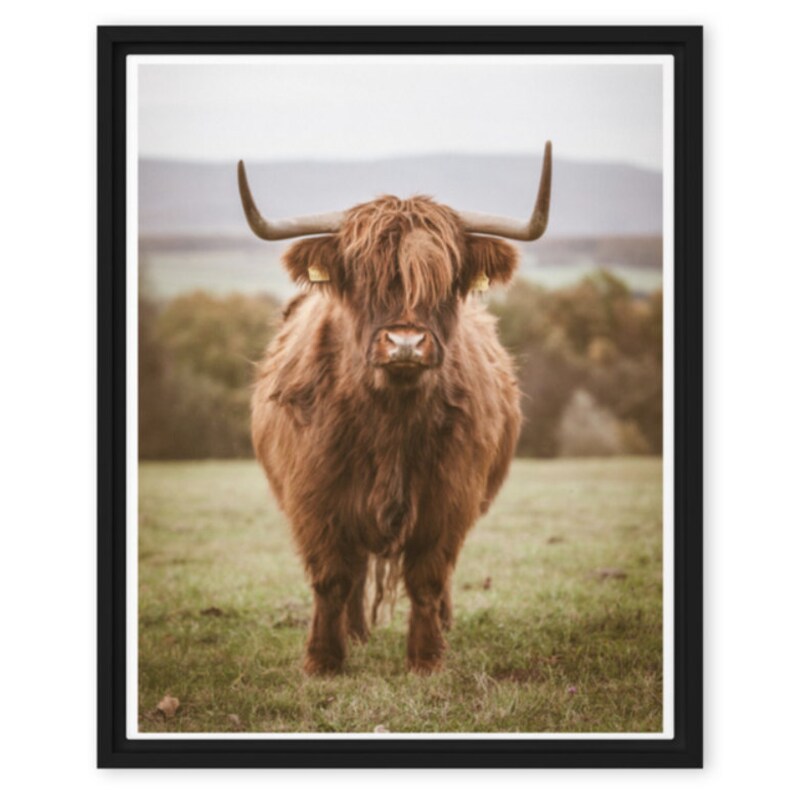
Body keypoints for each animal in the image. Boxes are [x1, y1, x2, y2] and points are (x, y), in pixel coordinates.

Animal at [237, 143, 552, 675]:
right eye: (361, 278)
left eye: (445, 280)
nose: (405, 342)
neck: (389, 420)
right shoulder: (315, 496)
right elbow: (332, 578)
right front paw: (324, 659)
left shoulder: (450, 496)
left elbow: (428, 578)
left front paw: (426, 658)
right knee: (357, 570)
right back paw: (356, 633)